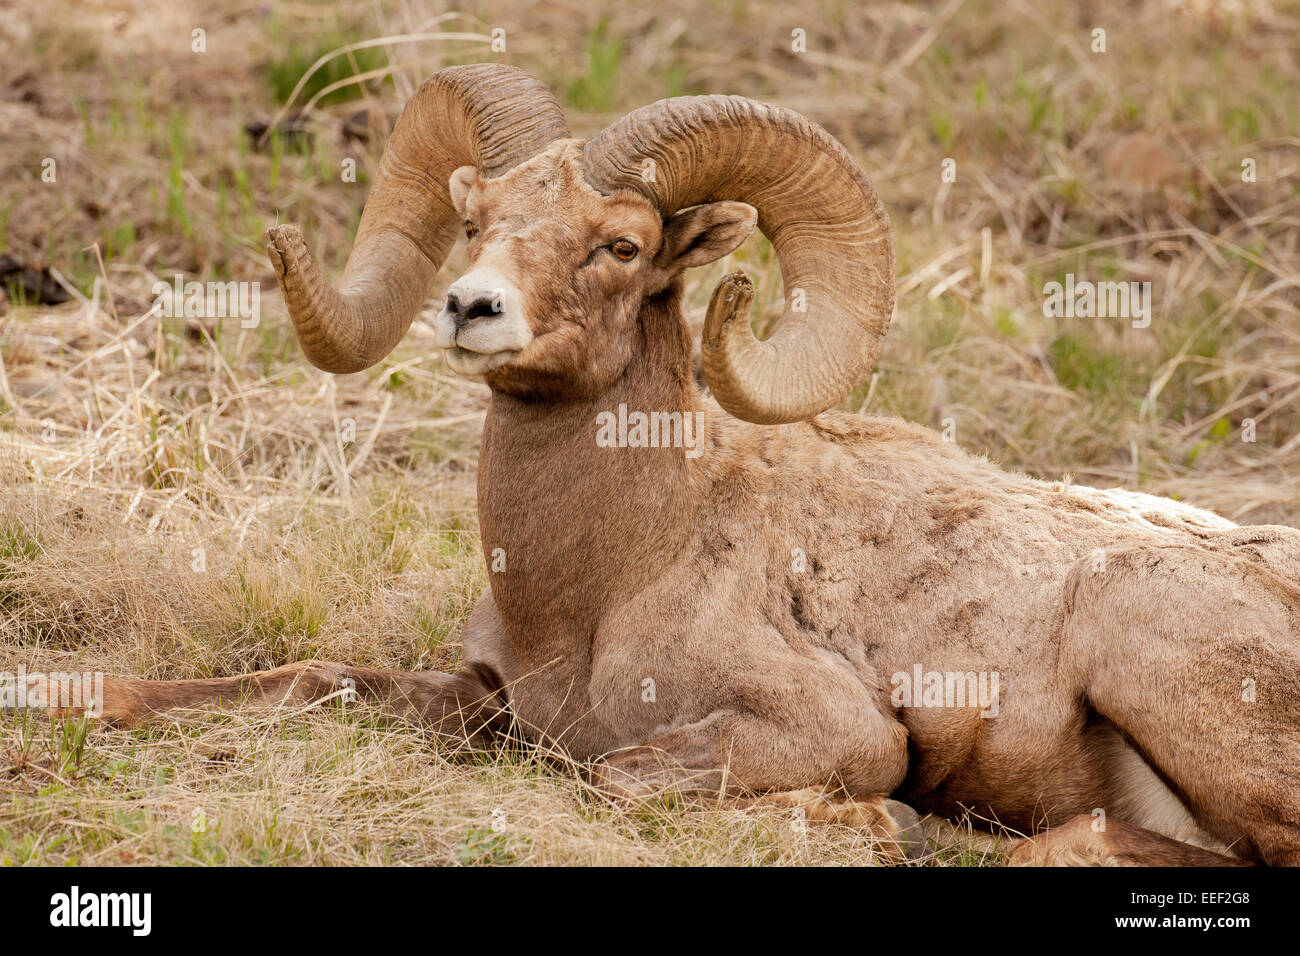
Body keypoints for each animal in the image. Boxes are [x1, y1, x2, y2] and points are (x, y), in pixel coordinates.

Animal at [45, 64, 1300, 866]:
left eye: (622, 245)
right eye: (475, 222)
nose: (471, 307)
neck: (605, 577)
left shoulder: (830, 731)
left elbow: (606, 774)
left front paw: (879, 827)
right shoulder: (479, 694)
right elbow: (302, 679)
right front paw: (88, 703)